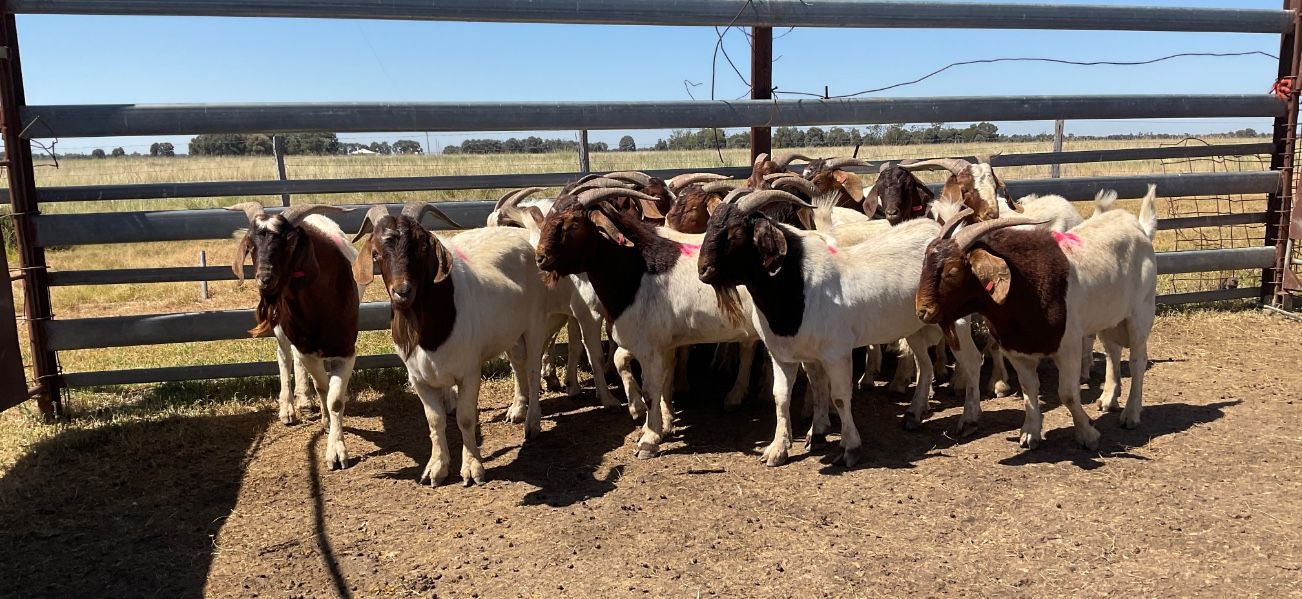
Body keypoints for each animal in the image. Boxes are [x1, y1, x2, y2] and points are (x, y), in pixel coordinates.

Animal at [228, 202, 363, 470]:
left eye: (289, 242)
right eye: (251, 245)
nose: (265, 279)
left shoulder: (345, 349)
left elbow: (335, 399)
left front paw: (337, 449)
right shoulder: (305, 346)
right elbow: (323, 387)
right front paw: (330, 434)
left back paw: (305, 401)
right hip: (283, 330)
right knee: (285, 358)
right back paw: (289, 409)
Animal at [352, 202, 559, 486]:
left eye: (423, 247)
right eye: (376, 253)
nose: (402, 291)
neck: (431, 333)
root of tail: (524, 237)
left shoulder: (469, 372)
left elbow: (466, 418)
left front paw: (472, 468)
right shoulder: (418, 378)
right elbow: (435, 421)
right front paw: (436, 468)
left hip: (535, 323)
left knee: (532, 367)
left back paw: (532, 423)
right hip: (509, 332)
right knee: (518, 363)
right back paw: (517, 409)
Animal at [533, 186, 765, 459]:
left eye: (574, 222)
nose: (540, 257)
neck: (637, 273)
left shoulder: (650, 347)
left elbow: (652, 391)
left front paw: (649, 439)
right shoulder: (661, 344)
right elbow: (651, 378)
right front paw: (656, 421)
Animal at [697, 189, 984, 467]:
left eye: (735, 232)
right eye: (709, 225)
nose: (703, 270)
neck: (798, 285)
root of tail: (947, 235)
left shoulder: (836, 352)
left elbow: (840, 396)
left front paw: (849, 448)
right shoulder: (786, 354)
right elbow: (789, 395)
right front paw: (785, 447)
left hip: (957, 322)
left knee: (972, 361)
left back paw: (969, 420)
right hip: (914, 326)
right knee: (924, 365)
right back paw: (913, 415)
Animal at [913, 186, 1159, 450]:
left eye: (953, 271)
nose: (922, 311)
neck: (1025, 286)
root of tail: (1139, 227)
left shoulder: (1068, 346)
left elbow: (1068, 394)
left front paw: (1087, 435)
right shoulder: (1018, 350)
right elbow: (1029, 391)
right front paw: (1030, 433)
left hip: (1140, 314)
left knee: (1137, 361)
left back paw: (1131, 414)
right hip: (1109, 316)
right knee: (1113, 351)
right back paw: (1108, 399)